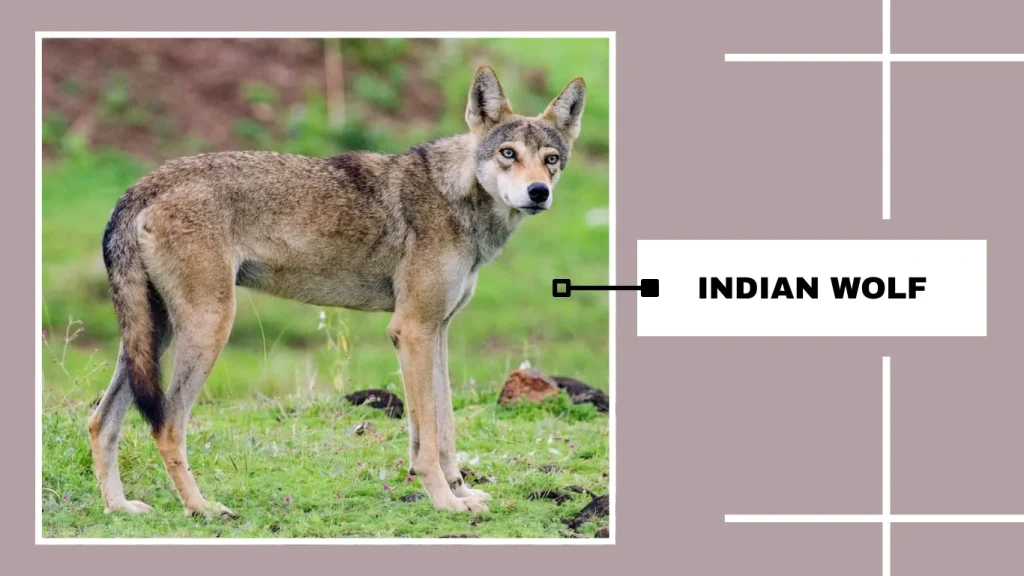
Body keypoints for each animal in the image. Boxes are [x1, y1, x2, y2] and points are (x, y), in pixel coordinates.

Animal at [86, 67, 586, 517]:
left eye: (550, 159)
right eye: (508, 153)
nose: (537, 192)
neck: (457, 197)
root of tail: (142, 185)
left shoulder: (437, 331)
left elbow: (444, 428)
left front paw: (462, 493)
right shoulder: (411, 330)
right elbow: (426, 440)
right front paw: (445, 502)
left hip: (153, 337)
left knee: (101, 421)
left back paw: (119, 508)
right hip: (207, 329)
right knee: (167, 424)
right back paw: (201, 508)